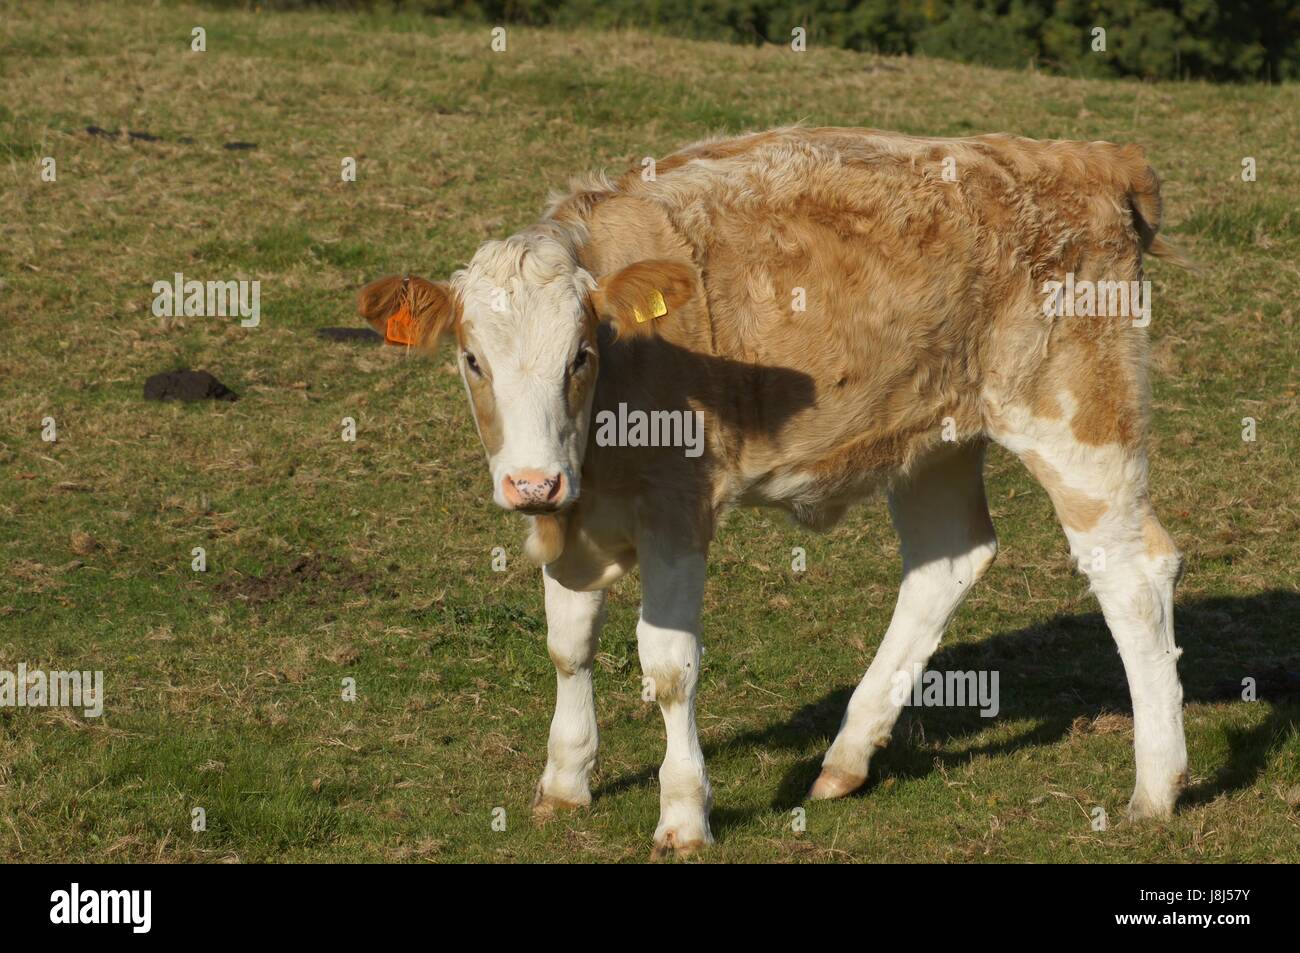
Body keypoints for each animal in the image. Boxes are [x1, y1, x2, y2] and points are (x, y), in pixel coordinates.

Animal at [357, 126, 1187, 858]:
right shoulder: (574, 513)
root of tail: (1093, 158)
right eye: (472, 359)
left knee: (1133, 569)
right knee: (950, 557)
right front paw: (564, 781)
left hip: (1077, 414)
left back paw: (1156, 786)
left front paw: (684, 815)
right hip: (935, 435)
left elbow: (669, 667)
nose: (531, 480)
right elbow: (568, 644)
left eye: (581, 355)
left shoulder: (677, 505)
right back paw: (845, 758)